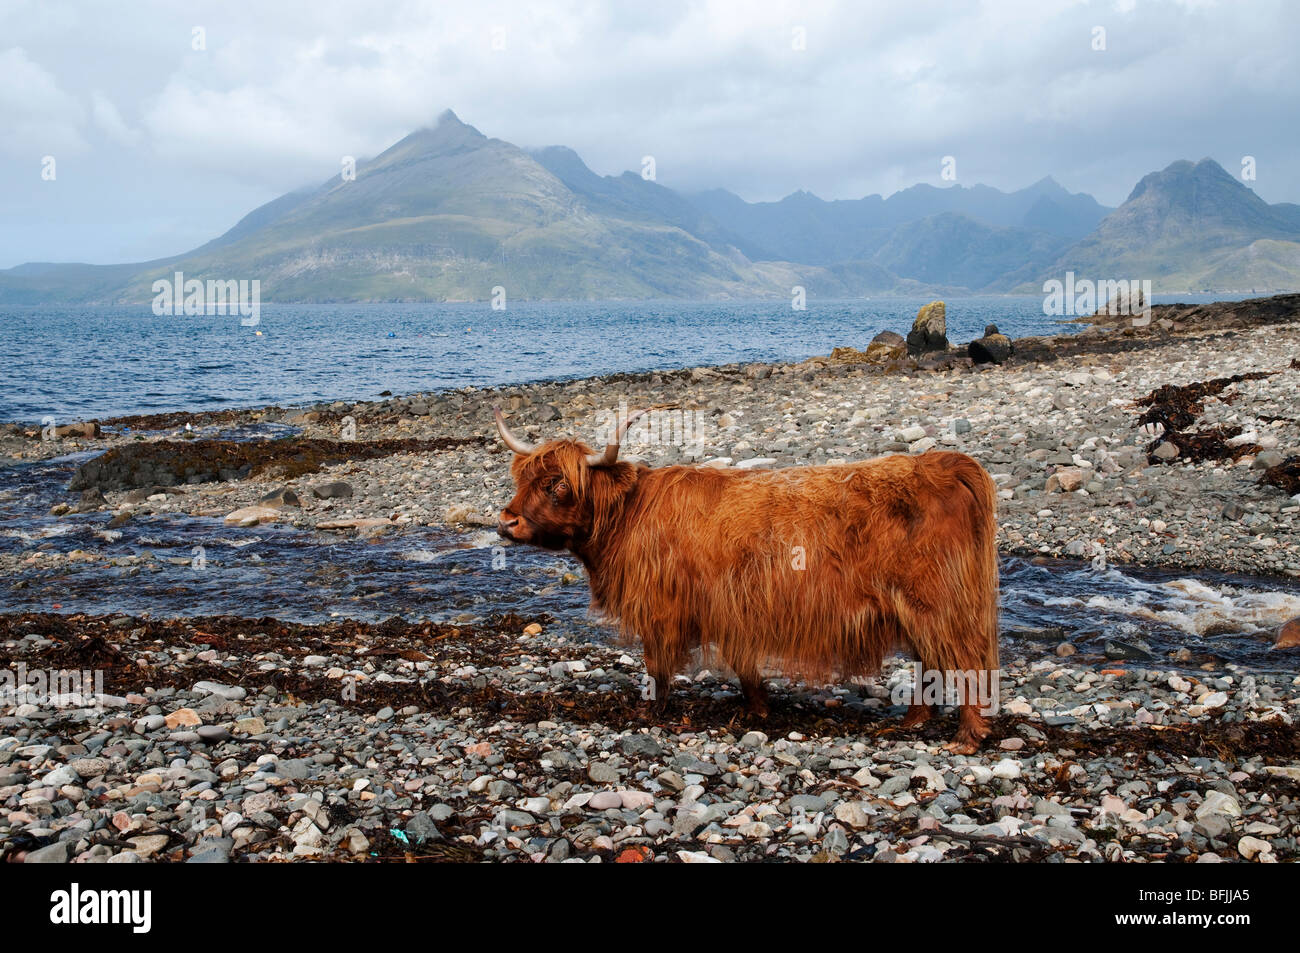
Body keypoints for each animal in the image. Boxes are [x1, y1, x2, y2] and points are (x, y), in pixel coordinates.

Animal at [493, 407, 1000, 752]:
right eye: (523, 479)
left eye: (559, 485)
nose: (506, 522)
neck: (629, 515)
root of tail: (944, 464)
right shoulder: (729, 608)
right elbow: (744, 666)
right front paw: (758, 708)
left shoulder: (664, 609)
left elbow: (657, 665)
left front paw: (649, 711)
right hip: (915, 608)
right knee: (930, 659)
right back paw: (915, 721)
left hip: (937, 601)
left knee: (962, 660)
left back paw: (968, 737)